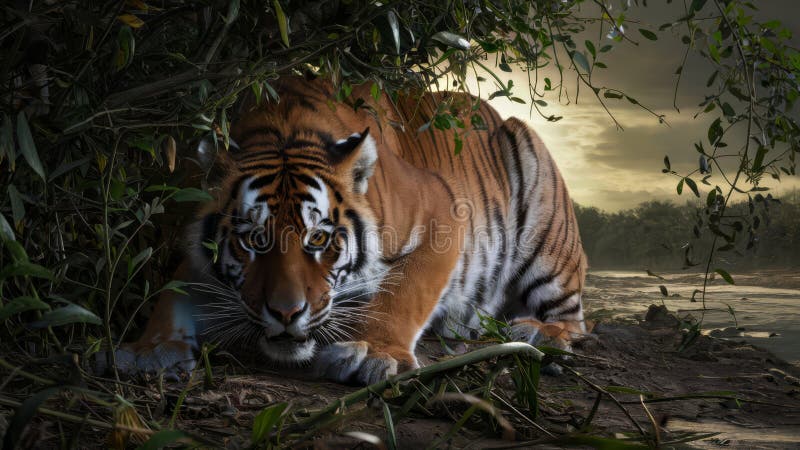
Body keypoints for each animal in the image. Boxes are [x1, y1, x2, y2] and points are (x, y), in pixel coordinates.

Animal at [109, 76, 587, 385]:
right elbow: (171, 294)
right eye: (254, 240)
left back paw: (537, 333)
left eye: (318, 239)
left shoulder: (443, 212)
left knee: (576, 319)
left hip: (543, 217)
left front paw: (372, 353)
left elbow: (403, 292)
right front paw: (148, 351)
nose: (286, 313)